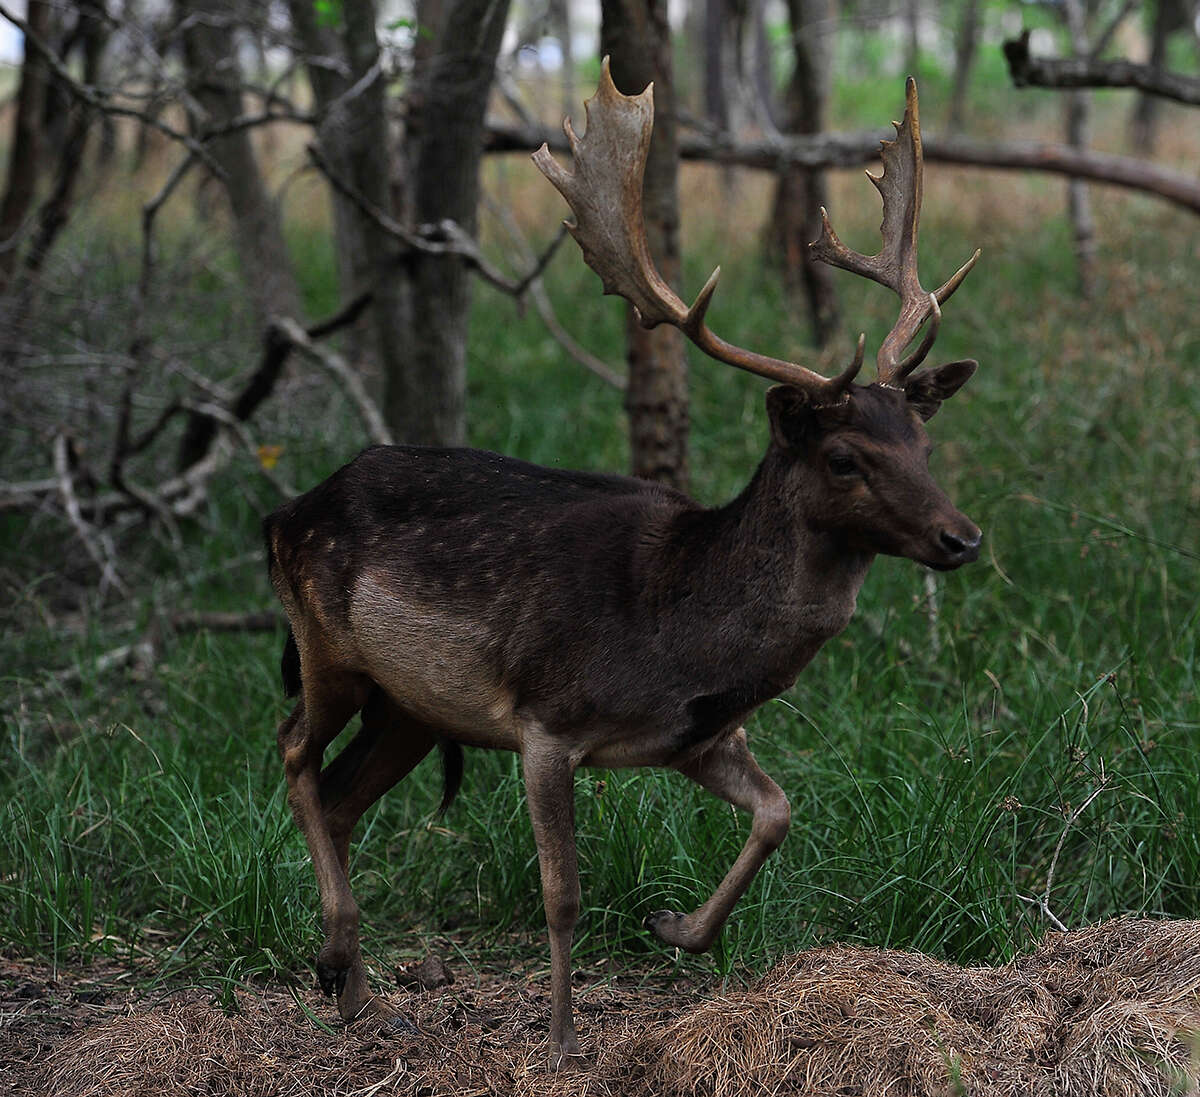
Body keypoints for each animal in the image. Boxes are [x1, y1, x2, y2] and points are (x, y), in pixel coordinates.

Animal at [264, 65, 982, 1069]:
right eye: (845, 457)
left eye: (922, 439)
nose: (962, 537)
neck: (677, 625)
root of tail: (287, 508)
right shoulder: (545, 719)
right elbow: (561, 892)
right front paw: (564, 1037)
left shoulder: (698, 735)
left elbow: (779, 811)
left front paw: (678, 927)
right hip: (326, 646)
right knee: (294, 747)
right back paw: (333, 953)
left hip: (410, 706)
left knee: (336, 796)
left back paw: (360, 993)